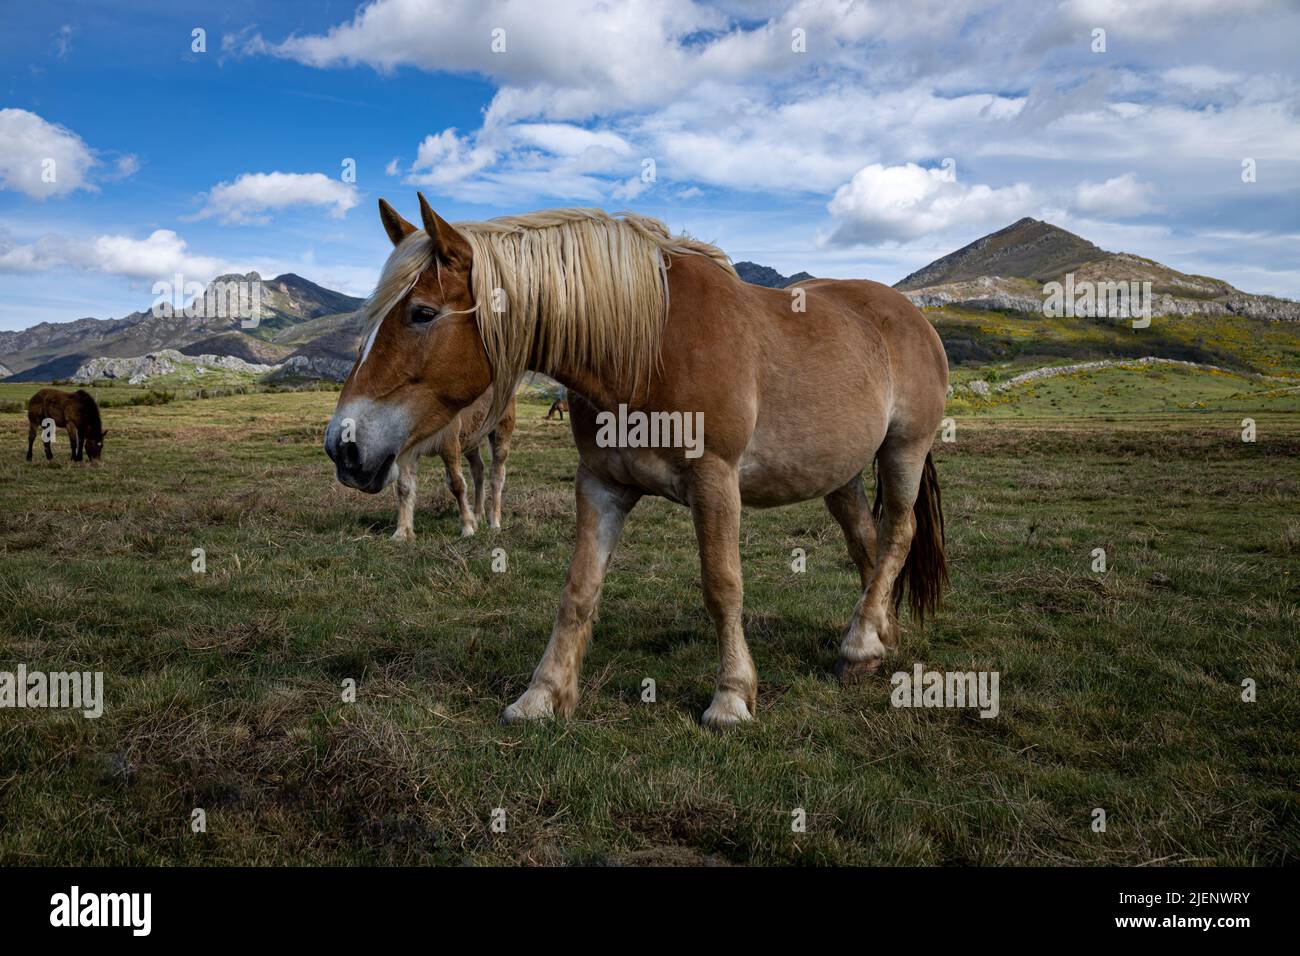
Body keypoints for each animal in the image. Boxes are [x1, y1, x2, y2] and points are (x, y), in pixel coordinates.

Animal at [392, 386, 516, 539]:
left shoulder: (449, 441)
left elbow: (457, 484)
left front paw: (467, 529)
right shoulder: (406, 451)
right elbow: (404, 487)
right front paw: (401, 532)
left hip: (501, 429)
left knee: (497, 473)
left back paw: (494, 523)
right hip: (471, 438)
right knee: (478, 470)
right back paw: (478, 515)